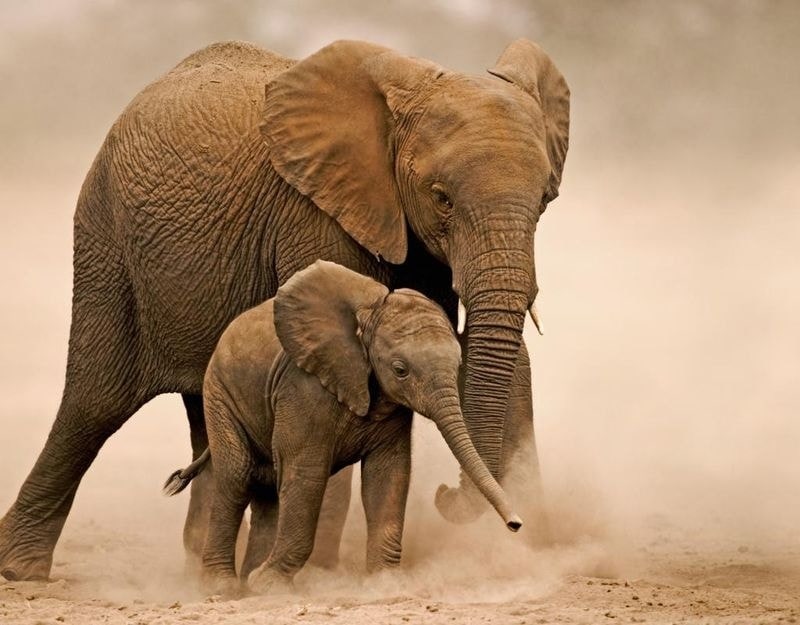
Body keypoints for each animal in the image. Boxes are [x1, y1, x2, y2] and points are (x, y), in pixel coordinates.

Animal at [164, 261, 522, 595]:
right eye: (400, 370)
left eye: (458, 365)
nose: (516, 524)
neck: (368, 318)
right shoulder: (304, 387)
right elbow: (306, 476)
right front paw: (270, 585)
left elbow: (388, 475)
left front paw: (387, 584)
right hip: (219, 393)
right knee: (237, 477)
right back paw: (222, 587)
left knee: (266, 487)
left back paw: (247, 581)